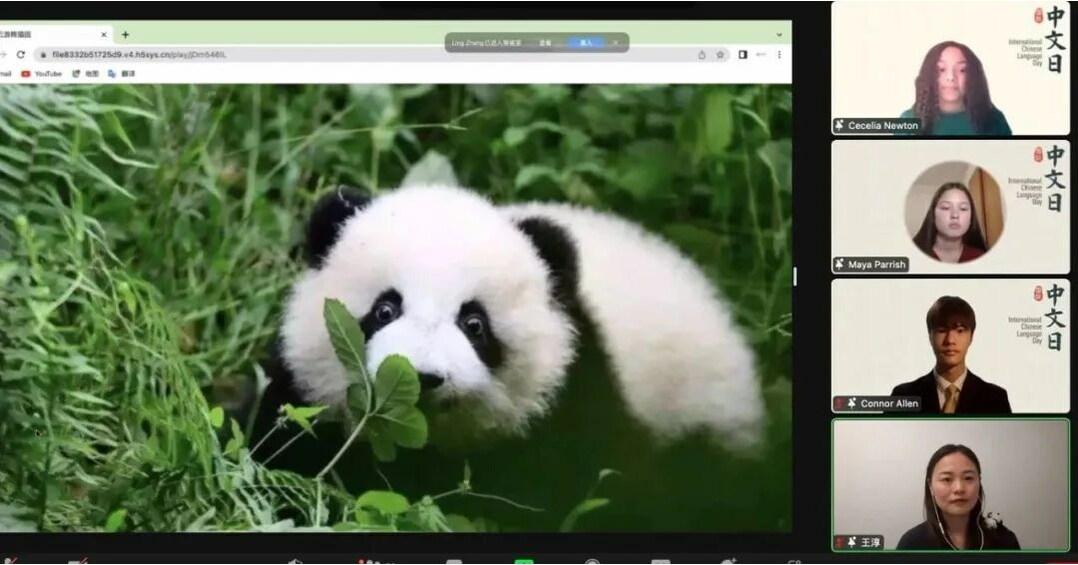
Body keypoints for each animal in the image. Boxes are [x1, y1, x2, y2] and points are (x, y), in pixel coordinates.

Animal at [249, 183, 768, 532]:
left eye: (474, 324)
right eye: (384, 309)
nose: (421, 377)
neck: (424, 445)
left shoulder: (577, 398)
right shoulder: (304, 393)